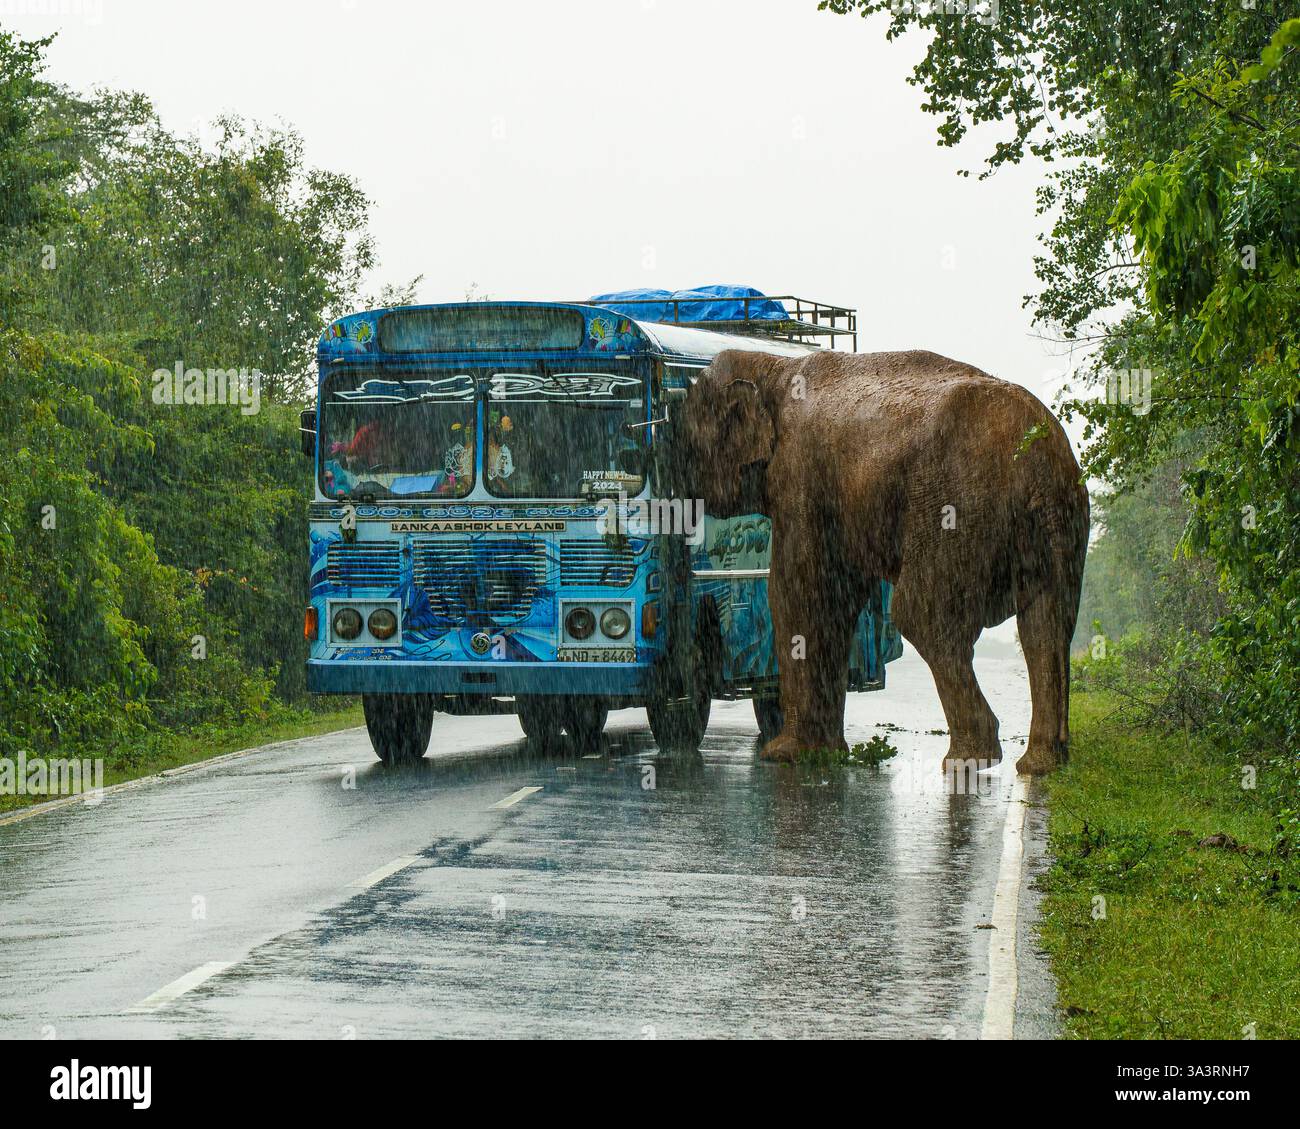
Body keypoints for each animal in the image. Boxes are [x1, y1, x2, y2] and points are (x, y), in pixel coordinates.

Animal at [675, 348, 1089, 776]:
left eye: (682, 438)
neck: (772, 366)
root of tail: (1041, 457)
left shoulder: (799, 478)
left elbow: (802, 598)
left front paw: (786, 755)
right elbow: (836, 602)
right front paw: (826, 753)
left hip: (958, 512)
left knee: (923, 615)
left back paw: (968, 760)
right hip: (1061, 524)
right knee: (1046, 624)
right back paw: (1042, 764)